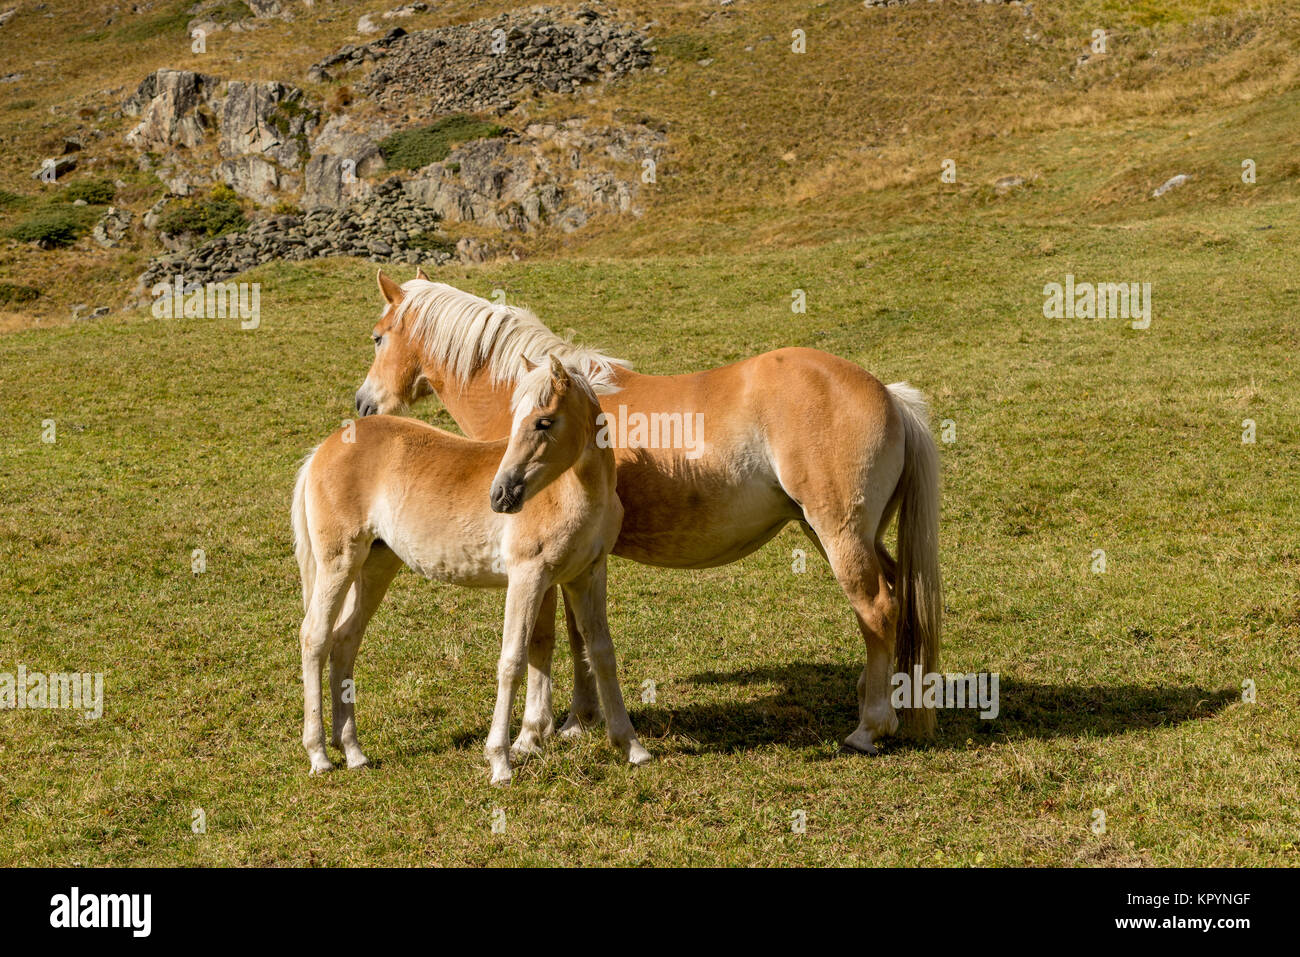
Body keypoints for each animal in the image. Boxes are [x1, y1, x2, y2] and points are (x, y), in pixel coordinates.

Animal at [292, 354, 651, 783]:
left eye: (543, 422)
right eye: (515, 420)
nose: (501, 495)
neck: (571, 494)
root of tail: (323, 448)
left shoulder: (587, 576)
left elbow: (601, 652)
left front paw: (632, 746)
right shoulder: (528, 577)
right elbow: (513, 660)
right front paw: (500, 761)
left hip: (376, 566)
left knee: (344, 640)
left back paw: (353, 751)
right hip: (338, 563)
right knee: (315, 637)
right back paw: (318, 755)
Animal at [354, 269, 942, 755]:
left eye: (379, 336)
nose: (363, 404)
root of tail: (888, 394)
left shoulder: (536, 562)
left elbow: (541, 640)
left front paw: (532, 733)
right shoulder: (575, 560)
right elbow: (579, 635)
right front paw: (580, 719)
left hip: (839, 535)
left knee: (877, 608)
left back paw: (869, 728)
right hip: (842, 535)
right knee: (898, 599)